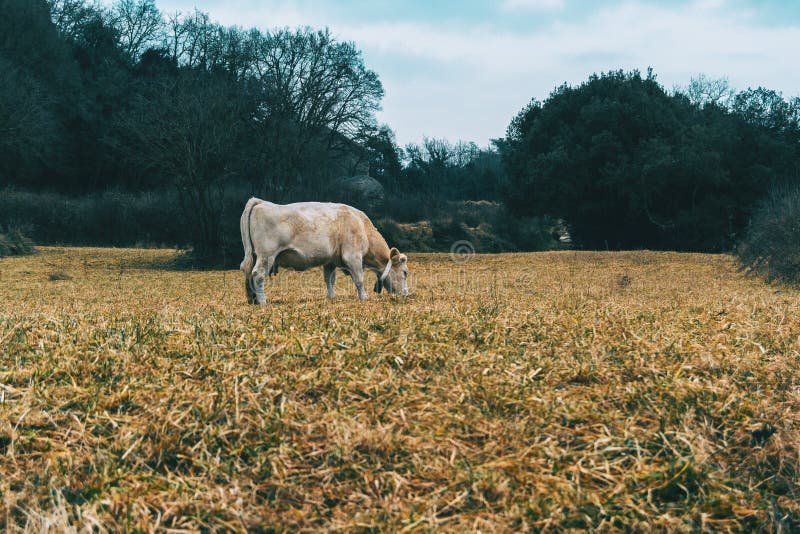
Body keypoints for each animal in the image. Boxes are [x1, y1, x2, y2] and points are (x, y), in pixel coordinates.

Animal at [240, 197, 409, 304]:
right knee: (258, 275)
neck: (361, 225)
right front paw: (364, 297)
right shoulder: (353, 256)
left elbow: (329, 280)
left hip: (255, 255)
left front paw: (331, 297)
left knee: (249, 274)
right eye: (405, 272)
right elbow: (359, 279)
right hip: (266, 255)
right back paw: (262, 301)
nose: (407, 294)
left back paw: (252, 299)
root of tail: (261, 202)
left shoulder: (330, 261)